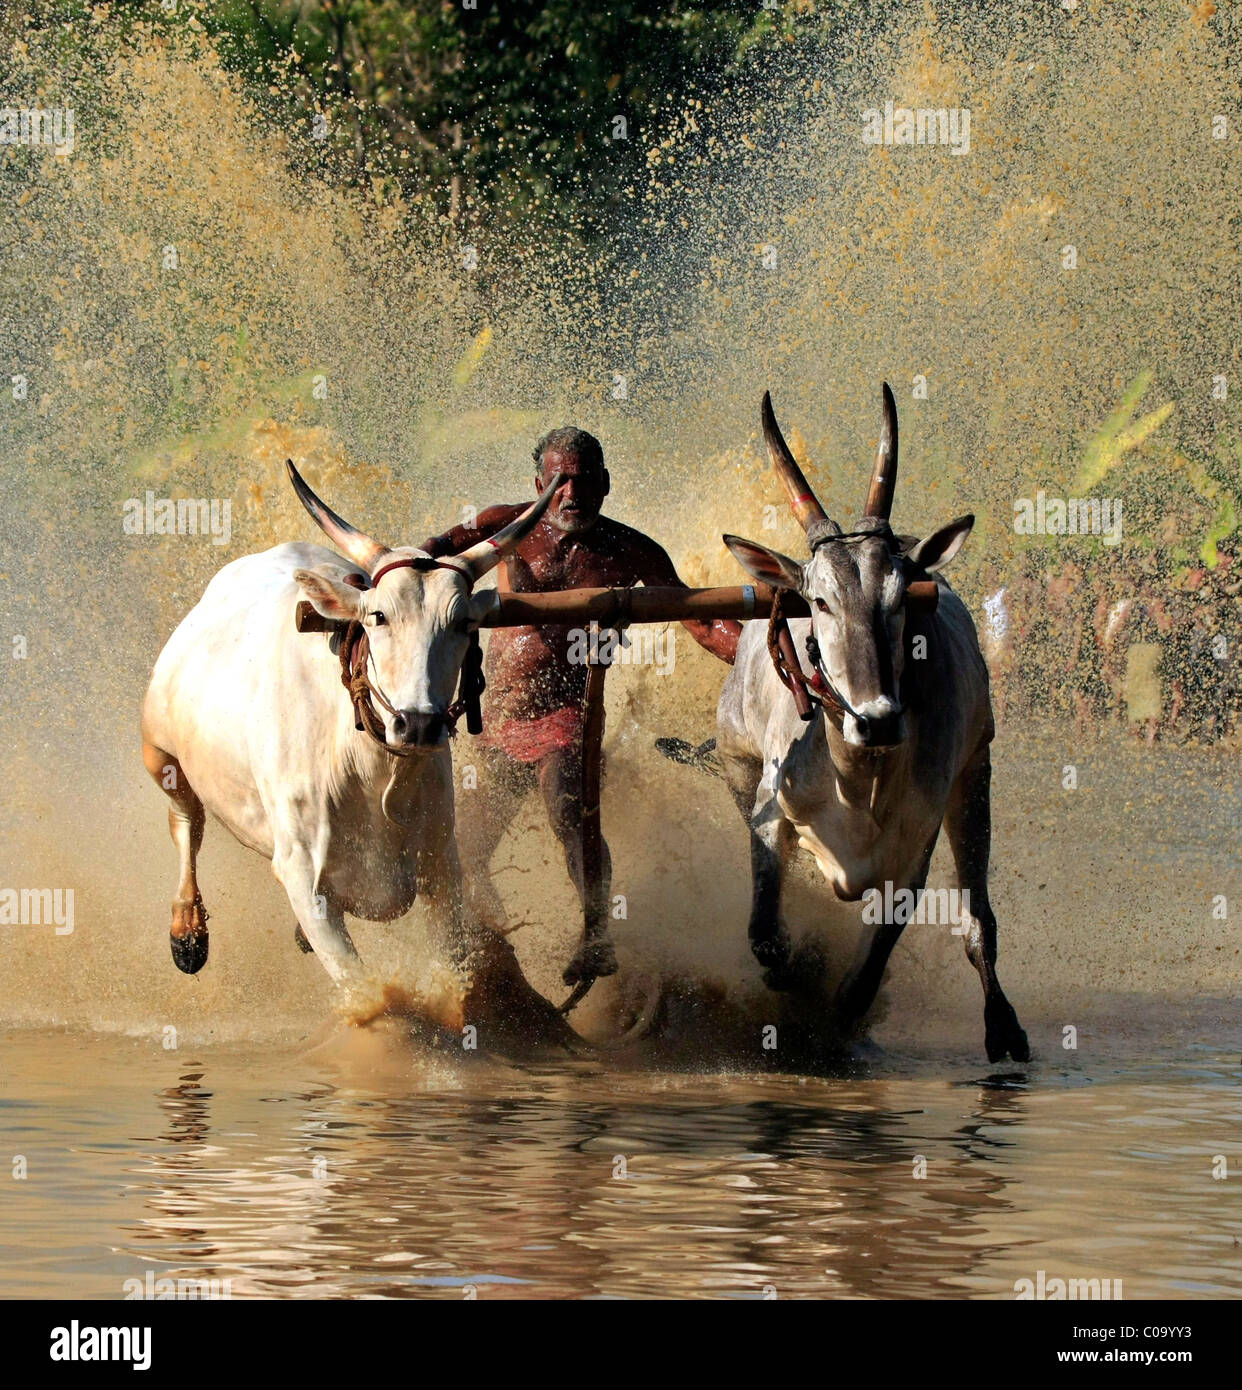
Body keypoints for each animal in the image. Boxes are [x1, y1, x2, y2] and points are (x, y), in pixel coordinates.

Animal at [140, 461, 577, 1048]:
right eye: (378, 617)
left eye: (463, 621)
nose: (418, 723)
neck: (371, 769)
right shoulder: (303, 875)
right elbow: (367, 993)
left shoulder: (441, 864)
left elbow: (453, 975)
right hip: (161, 752)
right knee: (186, 823)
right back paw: (187, 931)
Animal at [714, 387, 1030, 1062]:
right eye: (821, 600)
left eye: (901, 597)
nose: (879, 721)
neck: (857, 776)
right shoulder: (769, 804)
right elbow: (766, 937)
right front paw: (802, 975)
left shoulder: (917, 840)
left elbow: (877, 958)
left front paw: (839, 1016)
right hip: (736, 763)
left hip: (976, 775)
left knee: (979, 923)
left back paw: (1003, 1026)